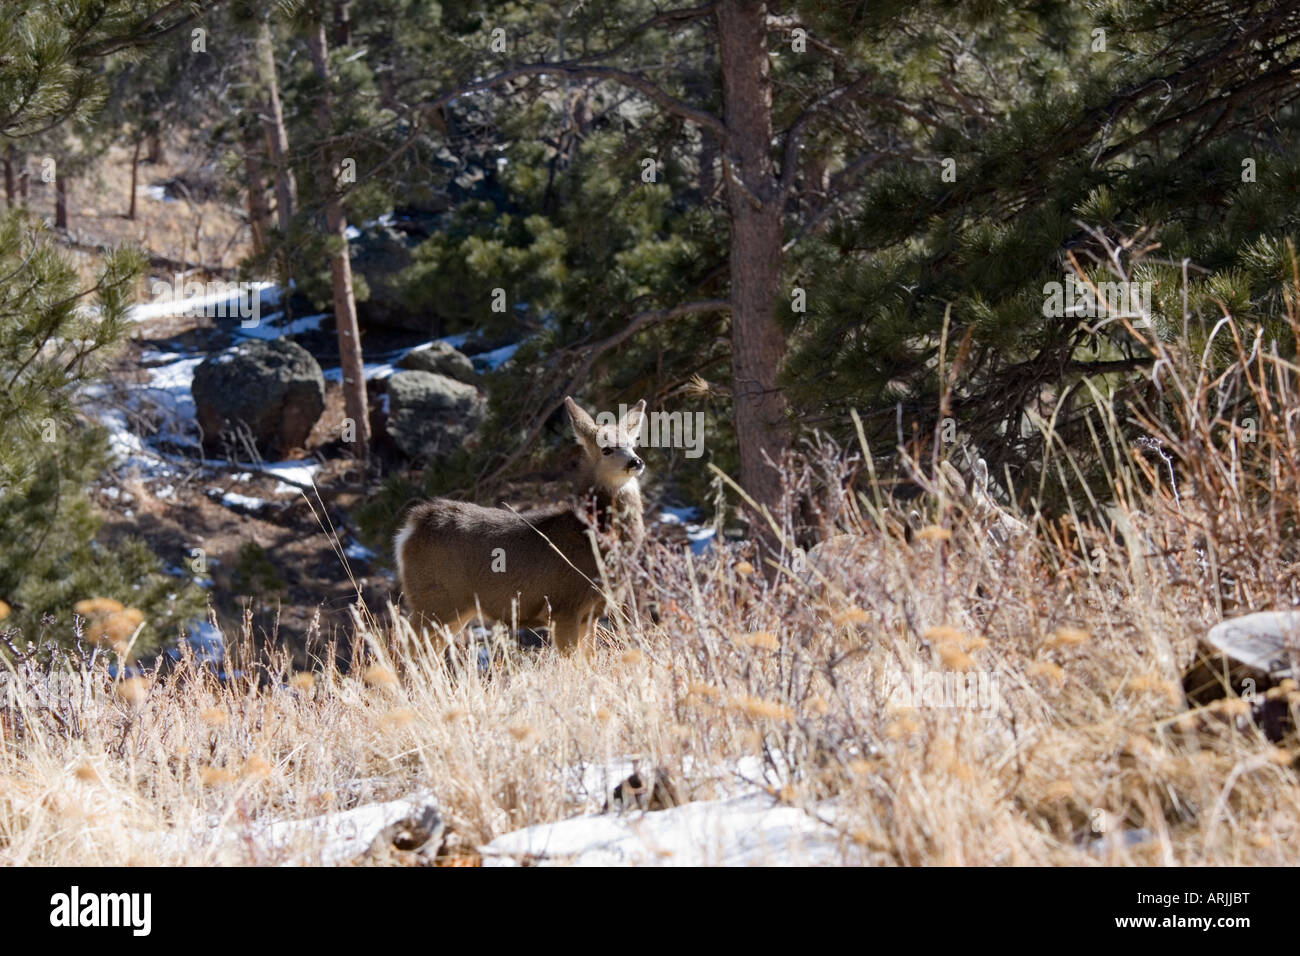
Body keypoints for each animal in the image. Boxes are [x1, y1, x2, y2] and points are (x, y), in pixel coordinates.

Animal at [395, 396, 646, 655]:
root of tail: (410, 528)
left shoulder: (592, 612)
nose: (635, 462)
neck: (593, 534)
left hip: (451, 608)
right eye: (606, 449)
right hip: (435, 599)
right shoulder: (563, 605)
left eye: (632, 444)